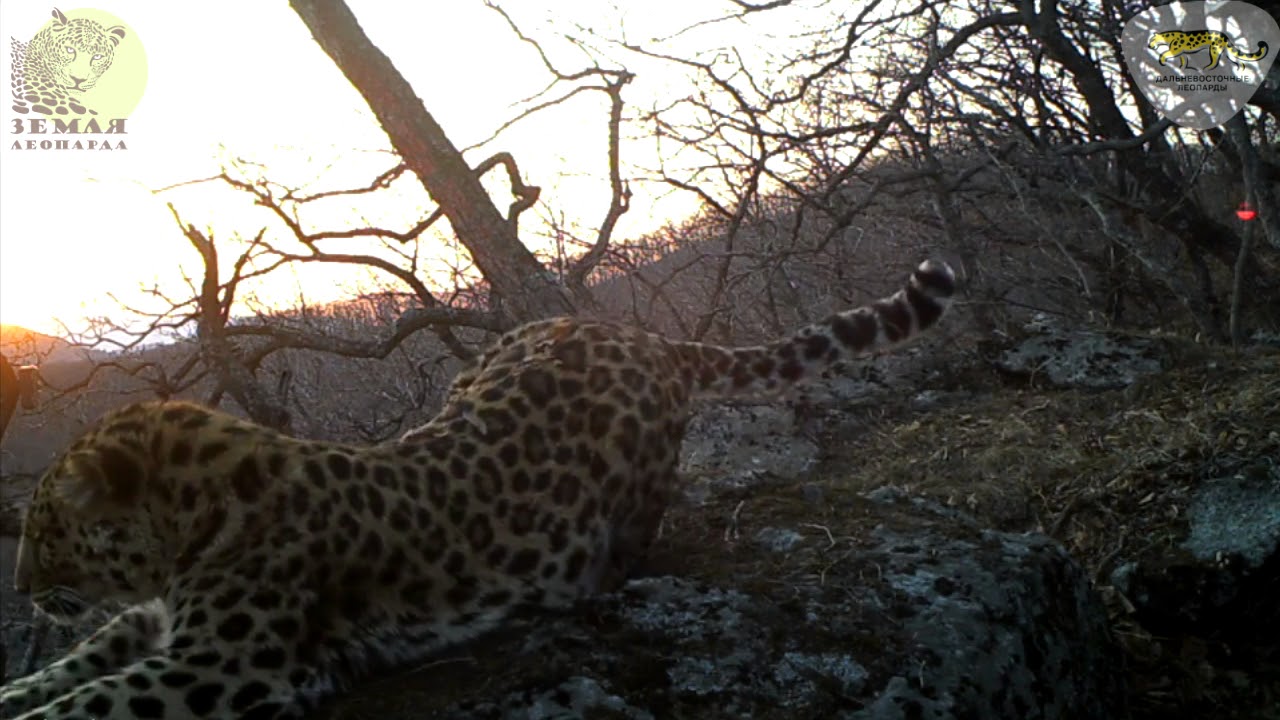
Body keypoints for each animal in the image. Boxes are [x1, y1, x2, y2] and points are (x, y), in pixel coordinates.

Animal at [1, 260, 955, 720]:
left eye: (43, 529)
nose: (21, 588)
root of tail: (633, 334)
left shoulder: (227, 666)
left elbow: (89, 702)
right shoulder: (155, 625)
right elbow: (80, 664)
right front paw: (18, 688)